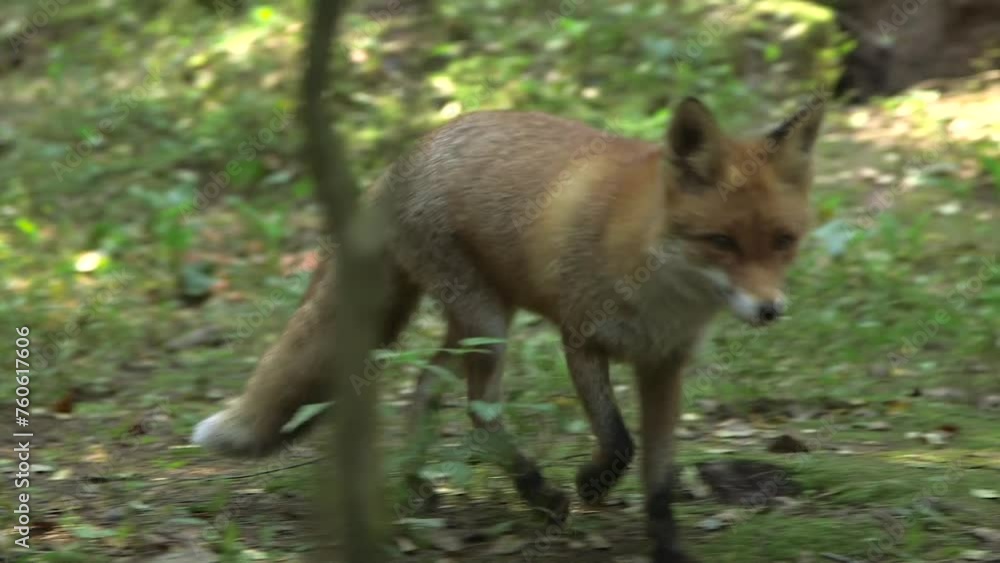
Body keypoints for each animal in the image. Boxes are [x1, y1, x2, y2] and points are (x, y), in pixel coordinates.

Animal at [192, 96, 824, 562]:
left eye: (783, 241)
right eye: (721, 242)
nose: (770, 310)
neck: (659, 284)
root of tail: (409, 154)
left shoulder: (663, 366)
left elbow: (660, 477)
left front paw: (667, 547)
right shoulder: (580, 338)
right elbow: (619, 441)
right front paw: (591, 485)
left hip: (474, 324)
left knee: (425, 386)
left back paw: (418, 483)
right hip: (489, 323)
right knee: (479, 412)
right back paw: (536, 493)